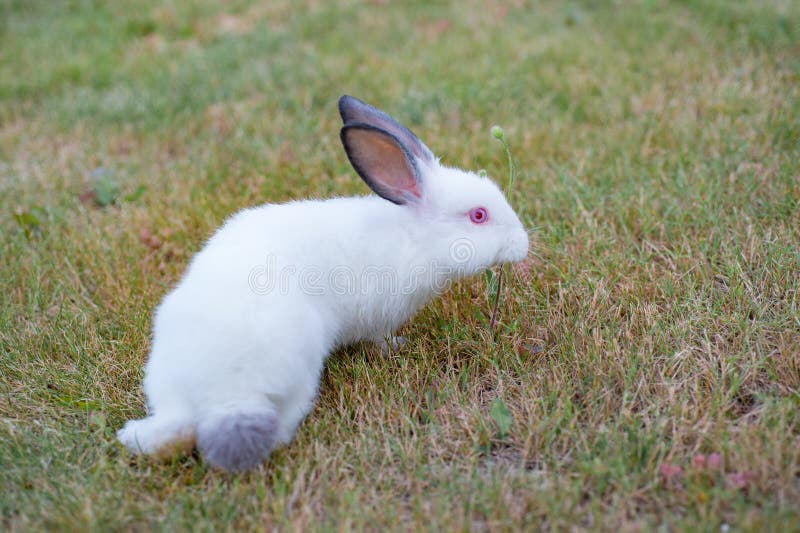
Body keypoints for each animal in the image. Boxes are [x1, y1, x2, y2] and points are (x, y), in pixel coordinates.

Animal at [117, 95, 530, 472]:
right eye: (478, 215)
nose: (523, 244)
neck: (413, 236)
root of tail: (224, 397)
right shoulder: (379, 316)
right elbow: (379, 339)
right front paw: (397, 347)